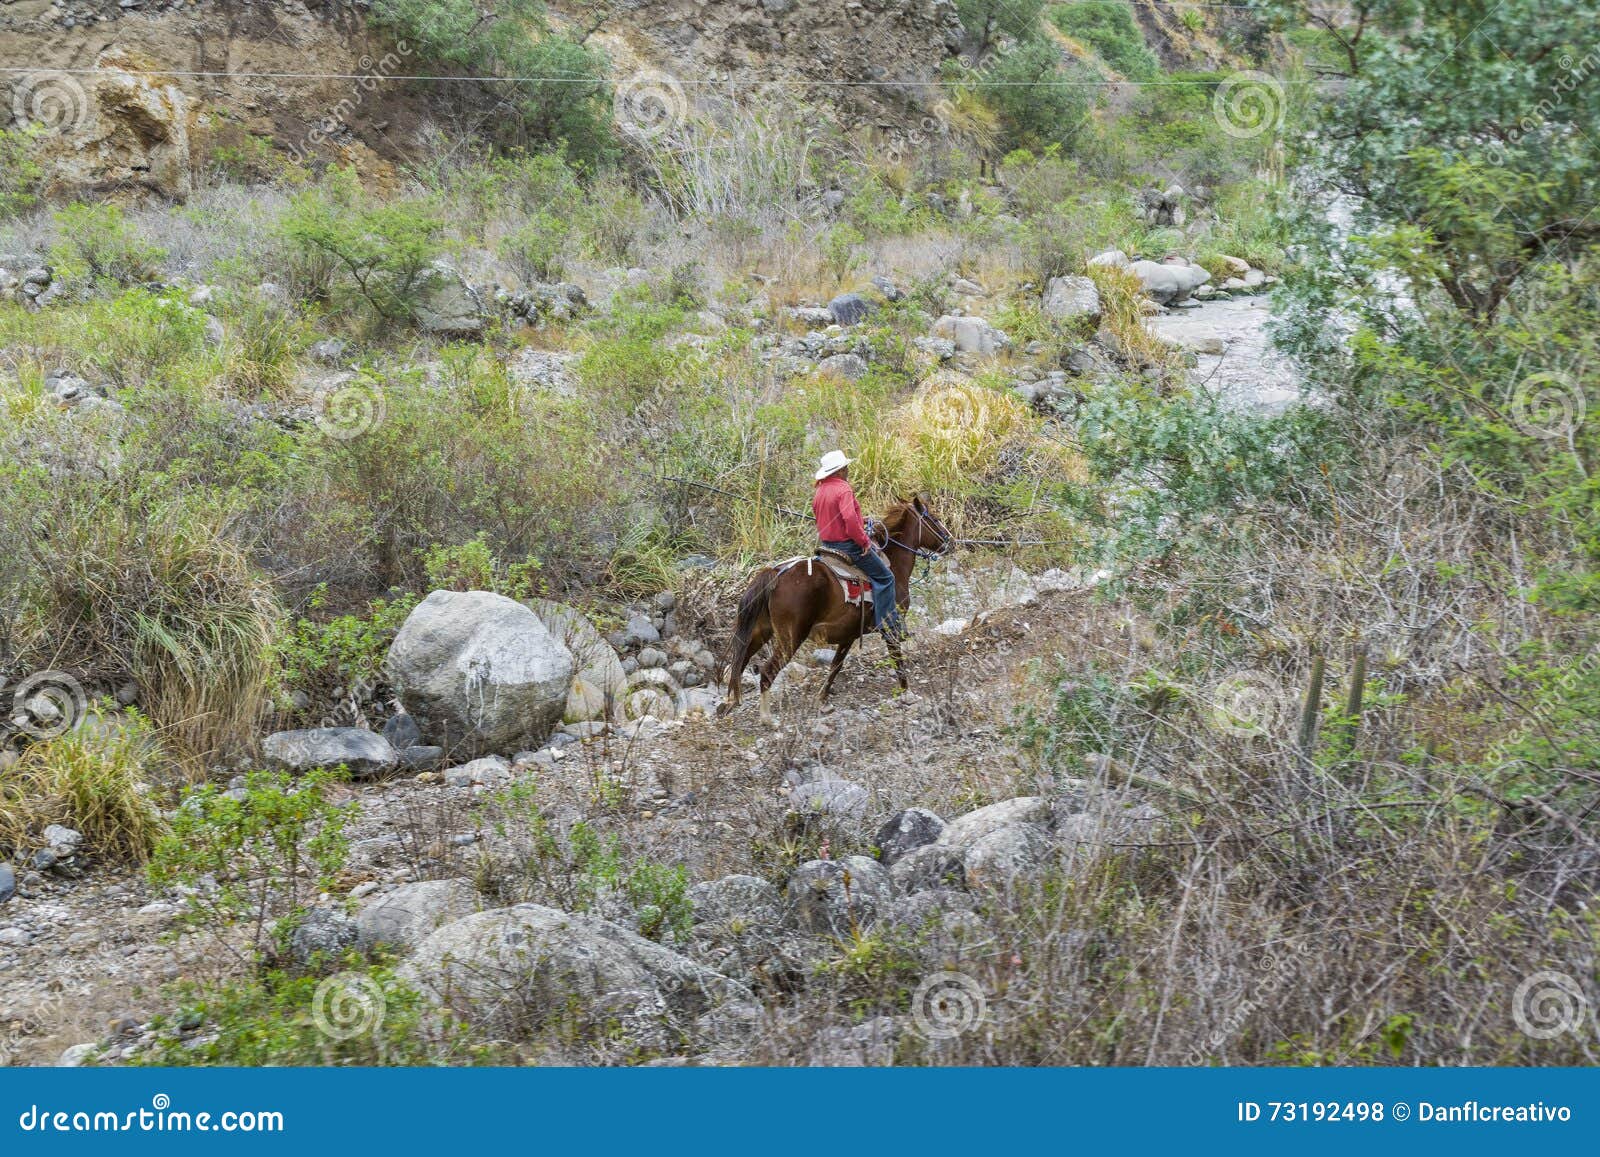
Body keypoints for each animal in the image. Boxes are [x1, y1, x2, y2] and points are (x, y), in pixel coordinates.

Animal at [719, 495, 953, 724]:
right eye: (934, 518)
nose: (950, 541)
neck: (893, 564)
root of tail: (775, 574)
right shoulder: (890, 628)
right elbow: (897, 660)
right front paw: (907, 693)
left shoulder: (849, 634)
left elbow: (835, 666)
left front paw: (822, 699)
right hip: (791, 638)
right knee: (767, 671)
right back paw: (766, 718)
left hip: (761, 630)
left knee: (739, 662)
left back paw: (729, 702)